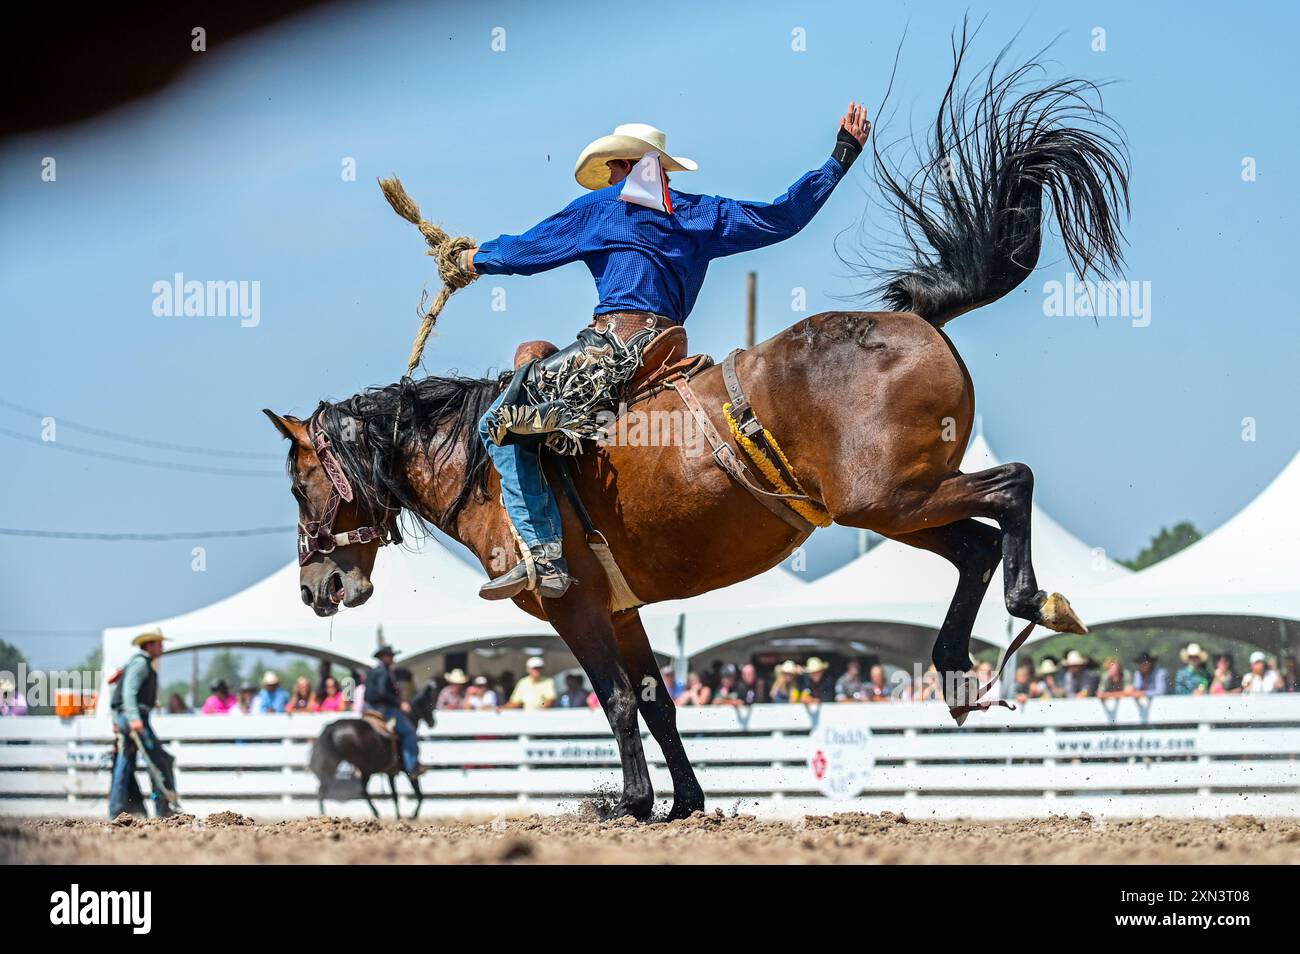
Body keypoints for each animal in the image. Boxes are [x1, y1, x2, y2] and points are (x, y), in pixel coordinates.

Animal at [309, 684, 436, 819]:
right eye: (429, 704)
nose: (433, 722)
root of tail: (332, 727)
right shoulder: (407, 770)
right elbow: (419, 793)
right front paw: (413, 815)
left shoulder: (390, 773)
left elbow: (395, 795)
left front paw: (399, 816)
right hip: (364, 768)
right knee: (362, 790)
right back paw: (376, 813)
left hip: (334, 764)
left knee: (322, 789)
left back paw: (323, 815)